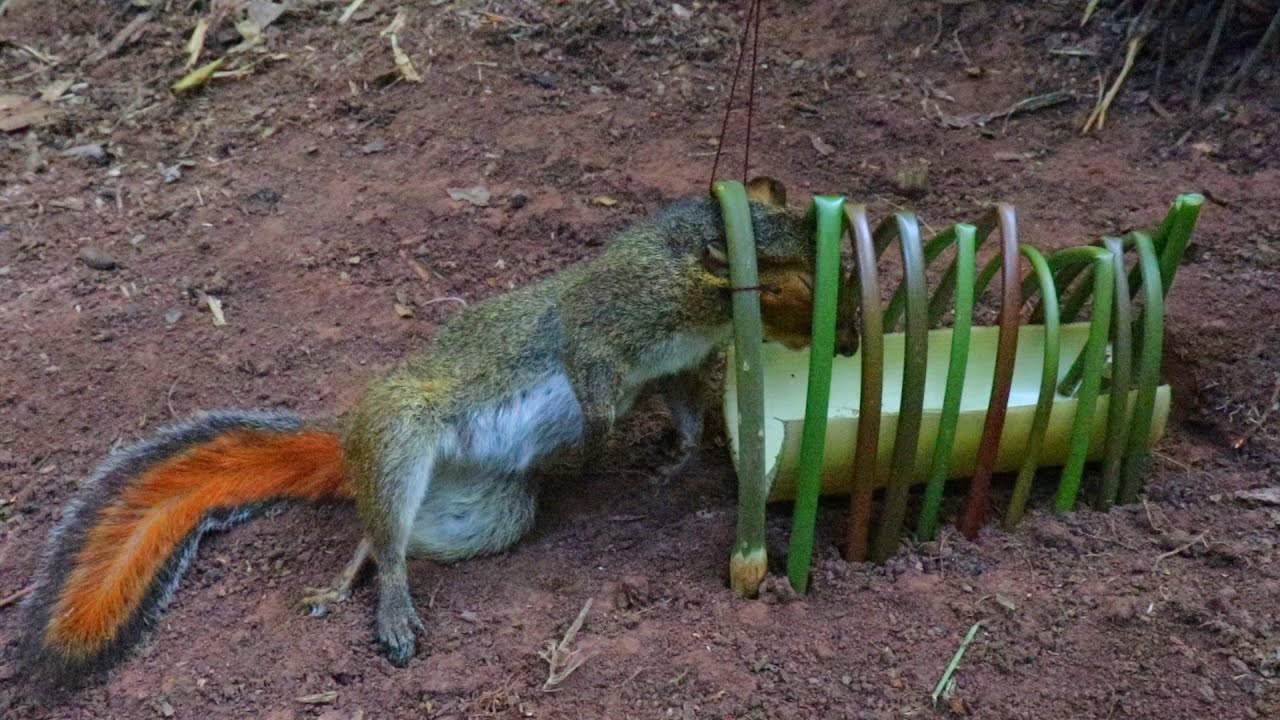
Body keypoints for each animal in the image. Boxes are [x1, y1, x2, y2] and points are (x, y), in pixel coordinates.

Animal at [20, 177, 859, 682]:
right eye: (793, 272)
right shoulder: (608, 322)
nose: (850, 336)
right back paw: (386, 603)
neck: (692, 280)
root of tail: (350, 441)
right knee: (387, 539)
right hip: (401, 440)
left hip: (487, 510)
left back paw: (351, 579)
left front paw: (675, 457)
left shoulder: (669, 368)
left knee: (381, 534)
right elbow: (593, 376)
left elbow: (681, 407)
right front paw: (601, 439)